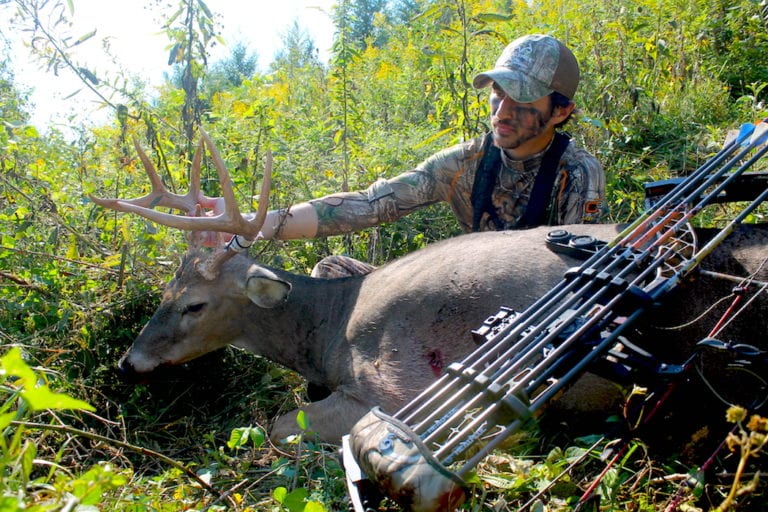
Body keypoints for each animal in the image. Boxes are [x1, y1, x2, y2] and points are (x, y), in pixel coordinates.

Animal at [92, 132, 768, 444]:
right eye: (163, 292)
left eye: (195, 304)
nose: (128, 363)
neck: (331, 331)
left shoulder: (401, 391)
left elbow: (277, 424)